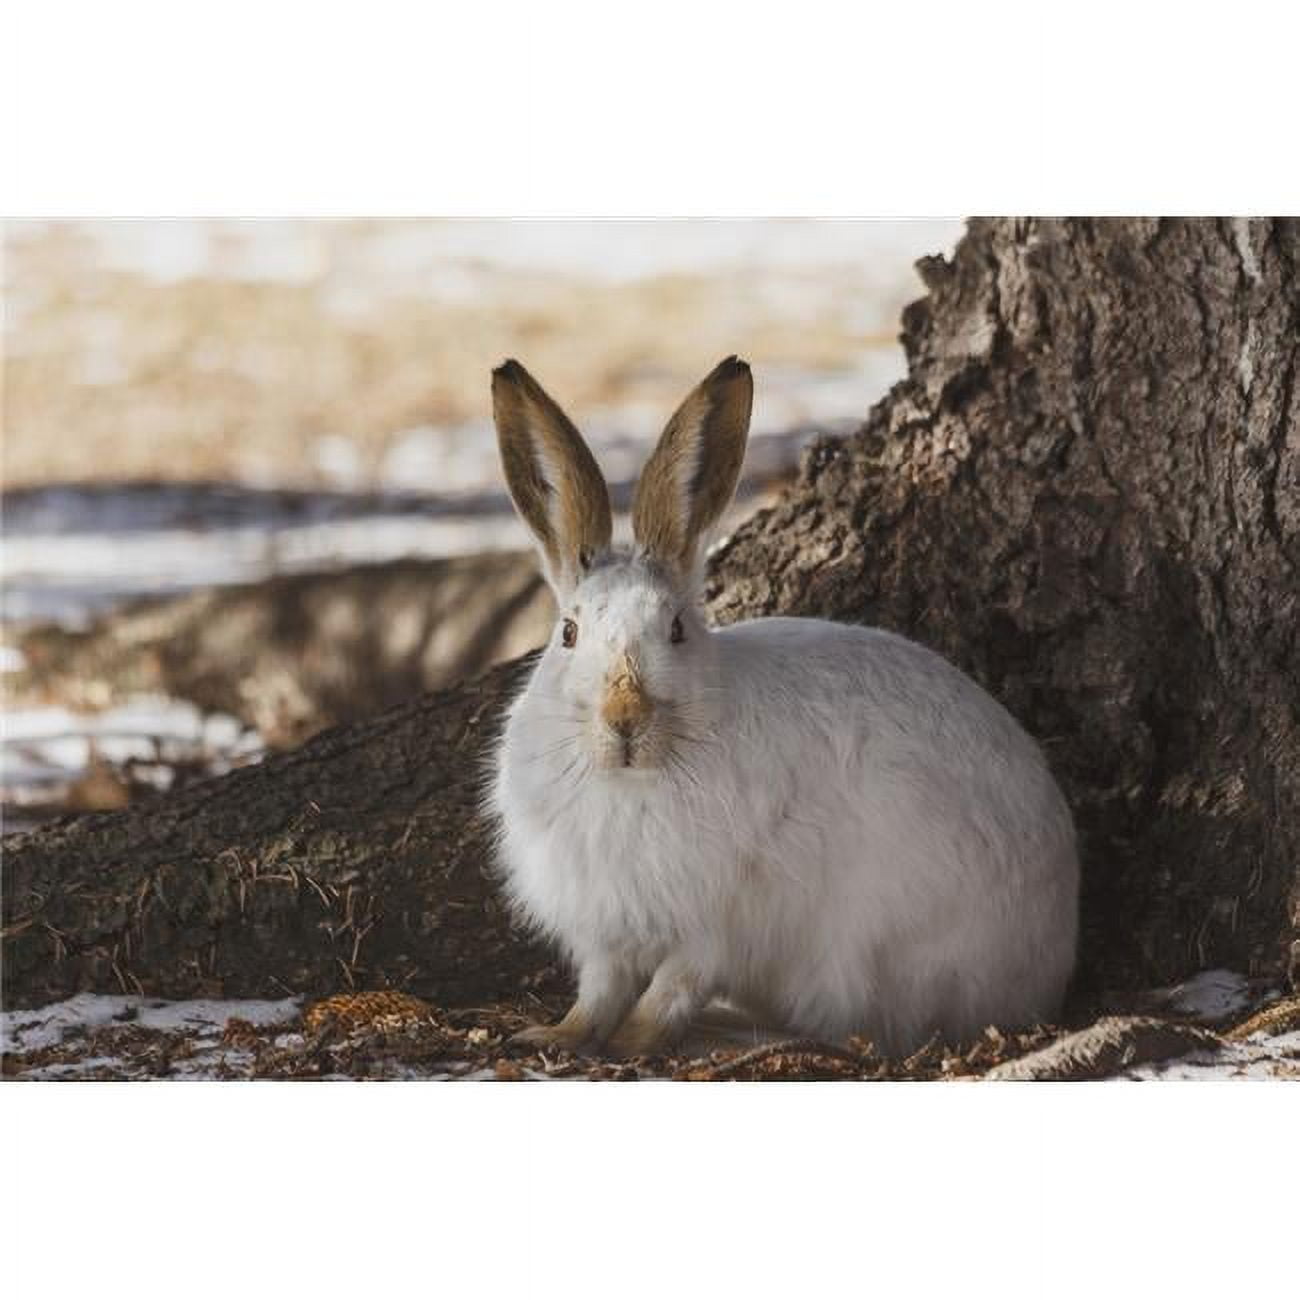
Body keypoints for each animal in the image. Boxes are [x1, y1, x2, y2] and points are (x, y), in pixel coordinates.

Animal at [488, 355, 1079, 1059]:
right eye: (569, 633)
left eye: (678, 629)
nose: (625, 719)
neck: (633, 778)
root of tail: (1054, 966)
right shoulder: (606, 928)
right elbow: (599, 991)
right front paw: (554, 1033)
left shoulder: (718, 922)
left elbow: (673, 987)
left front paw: (633, 1043)